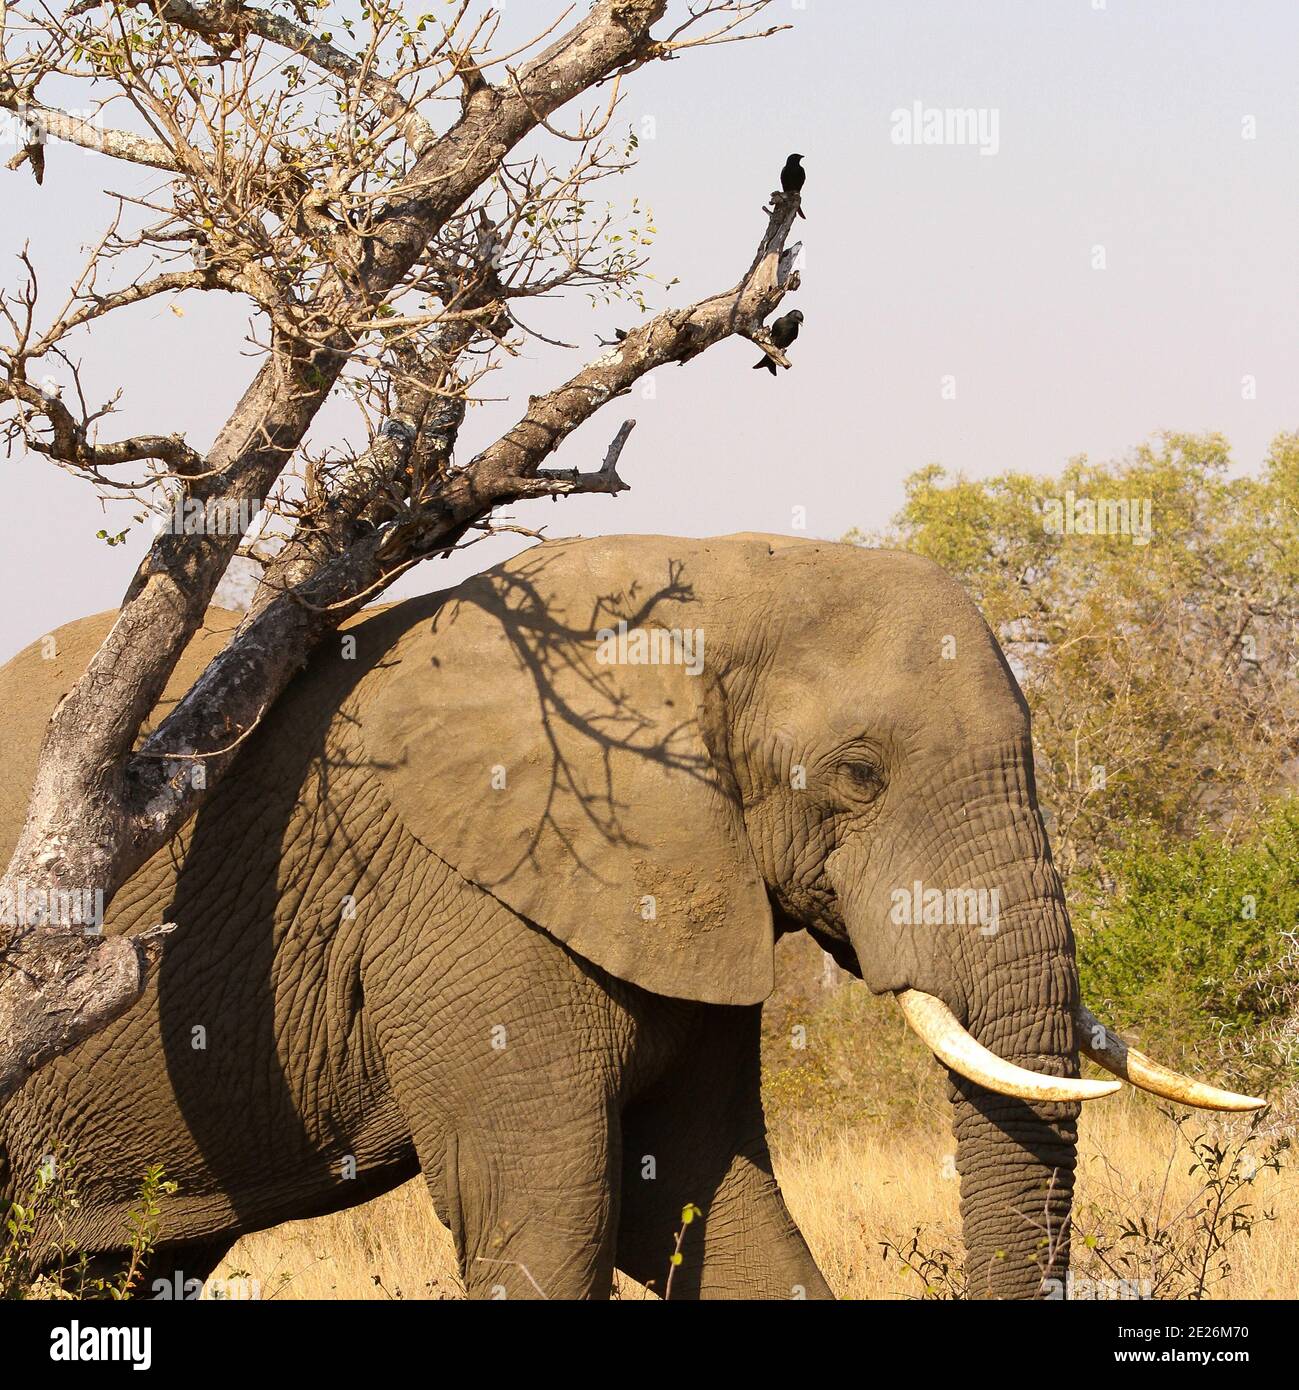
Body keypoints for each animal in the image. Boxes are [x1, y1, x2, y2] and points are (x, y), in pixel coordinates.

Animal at [0, 532, 1261, 1300]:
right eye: (858, 774)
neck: (712, 575)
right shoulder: (470, 895)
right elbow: (550, 1206)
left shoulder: (685, 890)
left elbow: (701, 1197)